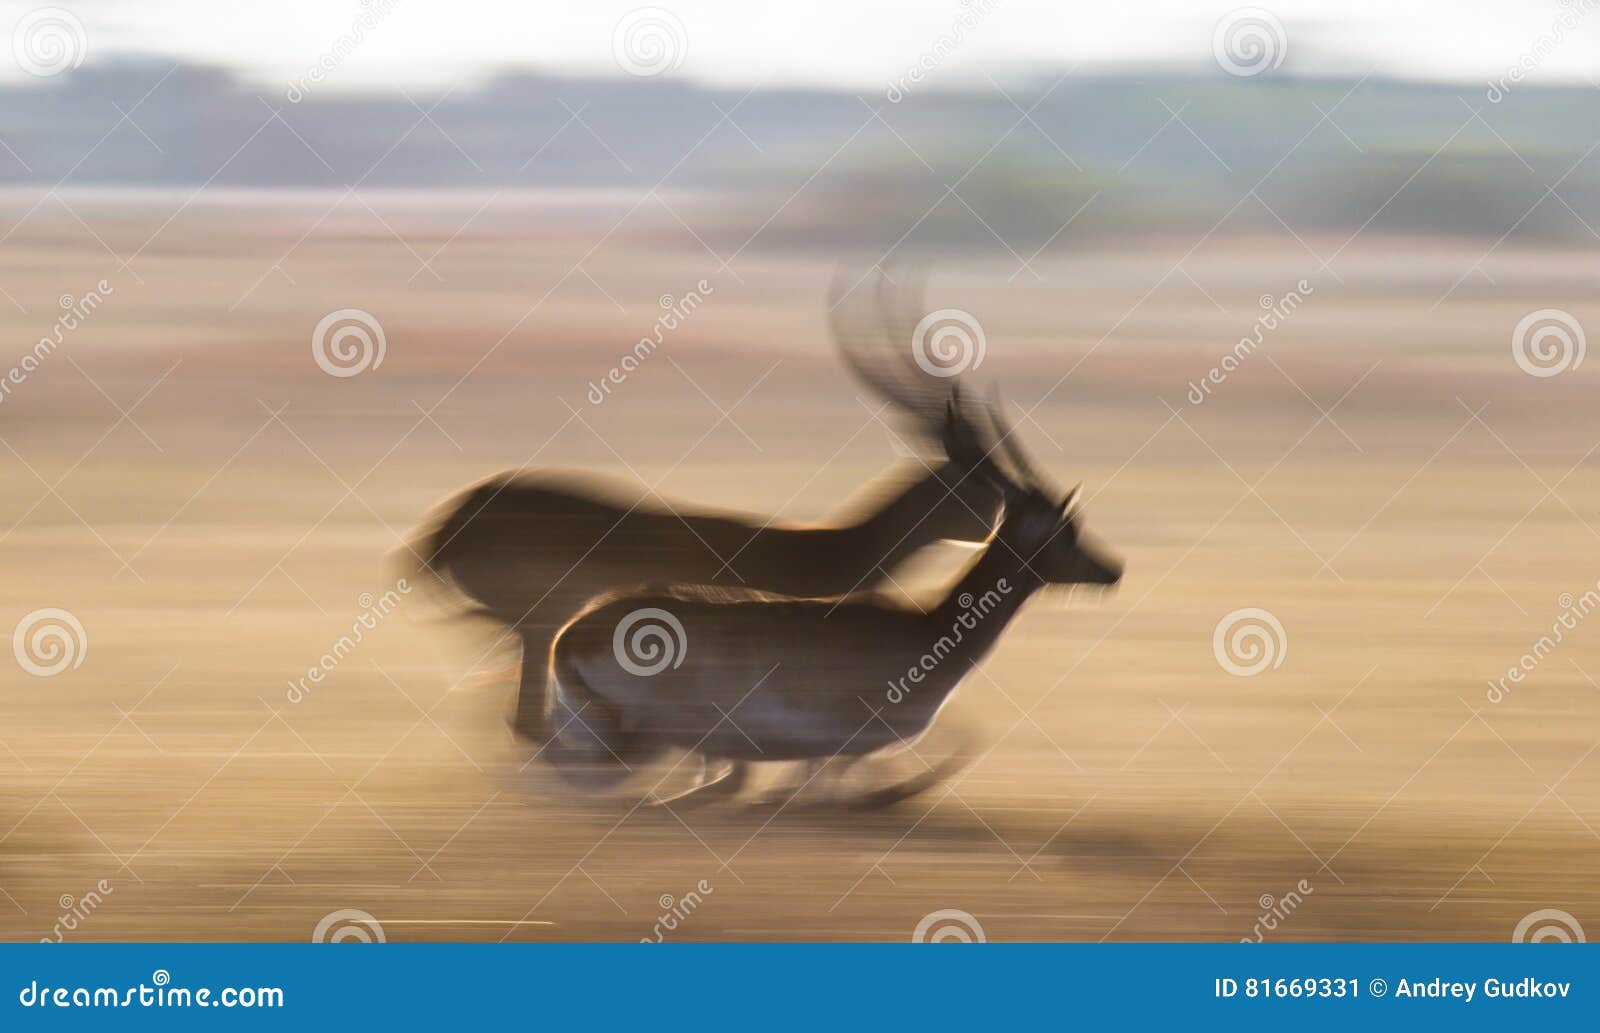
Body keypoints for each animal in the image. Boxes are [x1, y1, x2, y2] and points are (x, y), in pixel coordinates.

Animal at [411, 271, 1003, 741]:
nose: (996, 519)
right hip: (545, 626)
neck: (813, 554)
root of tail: (450, 525)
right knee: (530, 726)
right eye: (981, 478)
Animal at [542, 392, 1123, 805]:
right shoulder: (834, 754)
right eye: (1067, 529)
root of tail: (569, 638)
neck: (924, 634)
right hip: (641, 741)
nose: (1112, 570)